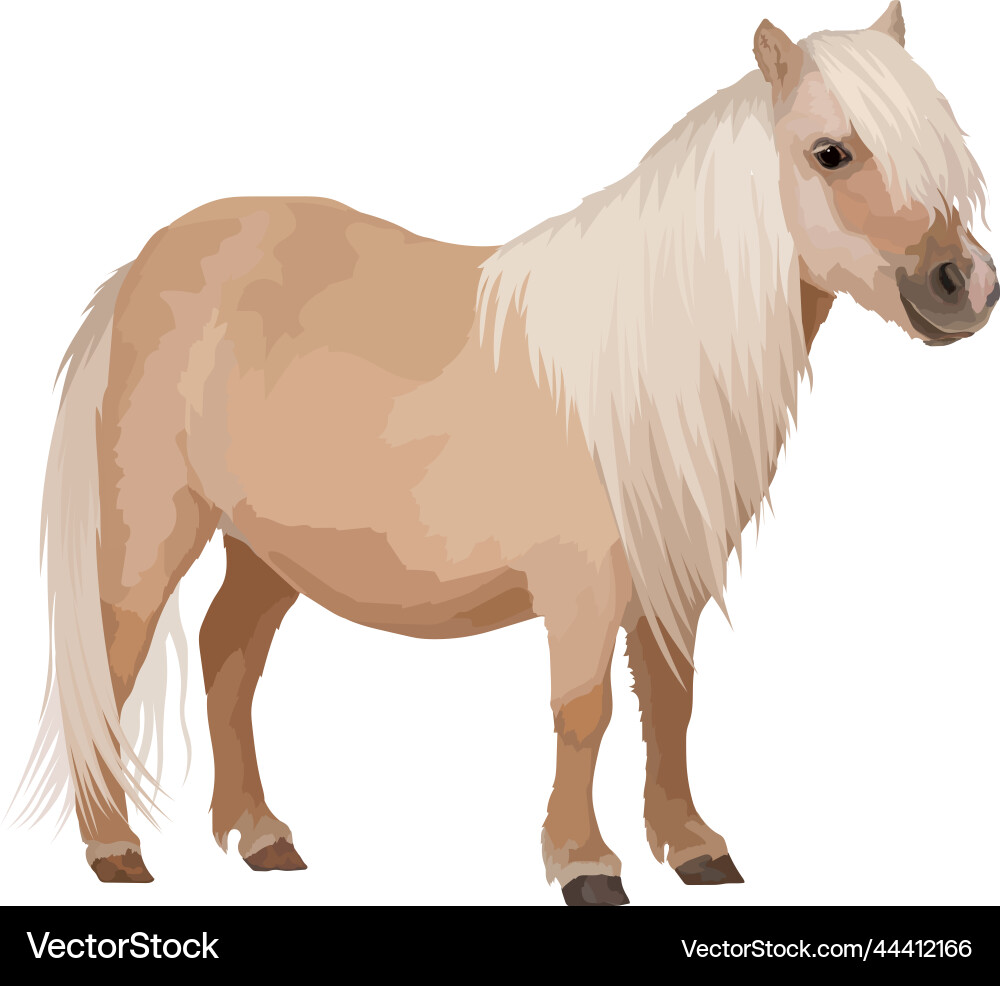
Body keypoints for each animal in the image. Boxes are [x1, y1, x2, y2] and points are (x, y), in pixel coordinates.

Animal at [11, 3, 996, 905]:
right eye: (831, 152)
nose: (965, 286)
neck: (641, 354)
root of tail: (142, 268)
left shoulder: (670, 575)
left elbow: (672, 701)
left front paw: (694, 848)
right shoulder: (583, 586)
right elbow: (585, 713)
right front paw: (586, 864)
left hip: (264, 545)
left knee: (229, 656)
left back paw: (263, 838)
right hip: (156, 529)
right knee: (113, 657)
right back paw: (115, 850)